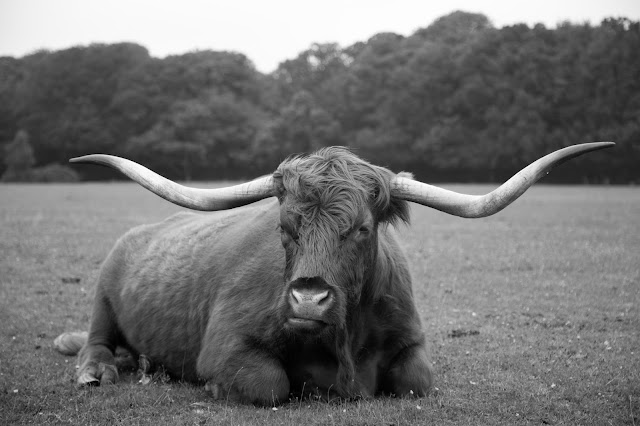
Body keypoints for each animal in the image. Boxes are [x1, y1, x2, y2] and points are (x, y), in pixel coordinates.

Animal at [54, 142, 613, 405]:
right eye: (285, 227)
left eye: (361, 229)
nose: (307, 298)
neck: (346, 345)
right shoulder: (225, 347)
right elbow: (267, 383)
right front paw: (215, 389)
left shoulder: (411, 342)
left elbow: (417, 380)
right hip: (103, 296)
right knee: (95, 343)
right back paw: (96, 372)